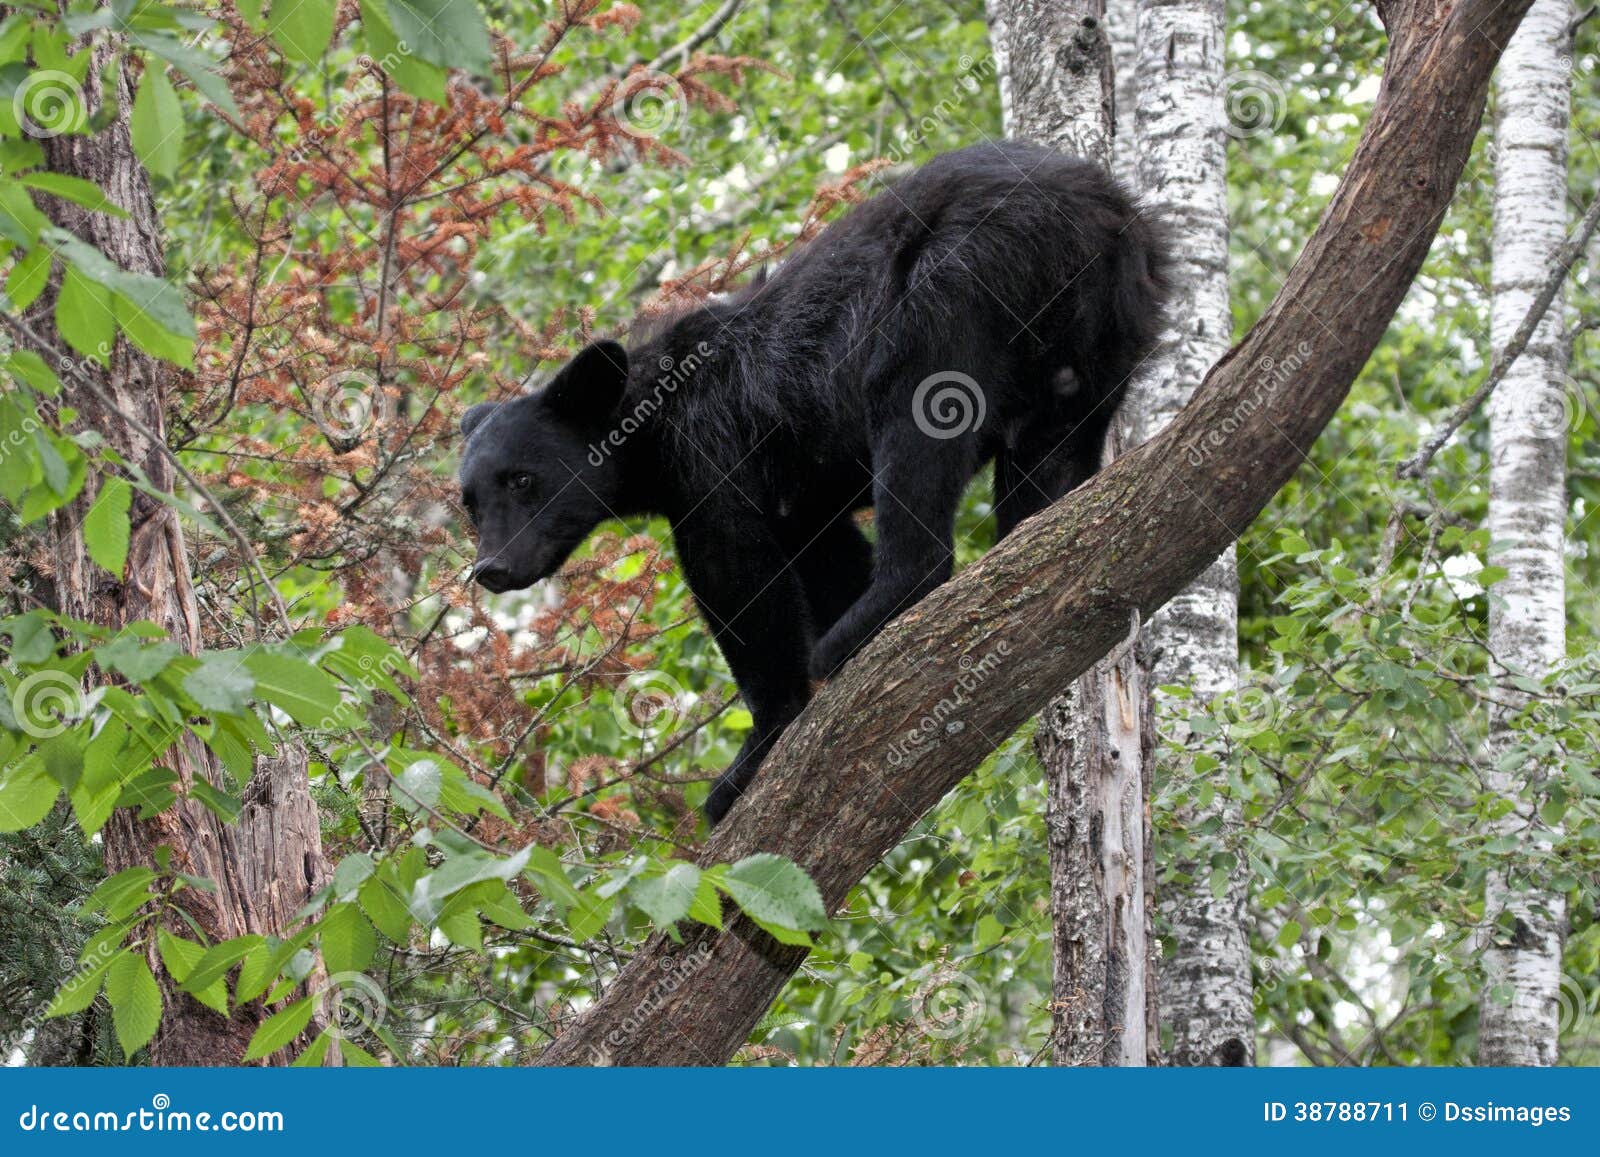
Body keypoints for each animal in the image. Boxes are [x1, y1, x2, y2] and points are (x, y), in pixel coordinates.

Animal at [458, 141, 1169, 824]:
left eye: (523, 480)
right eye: (470, 503)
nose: (490, 568)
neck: (654, 425)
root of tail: (1103, 209)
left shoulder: (713, 452)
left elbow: (739, 579)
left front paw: (750, 755)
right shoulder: (794, 490)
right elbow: (820, 547)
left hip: (960, 277)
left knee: (917, 407)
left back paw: (868, 619)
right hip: (1101, 339)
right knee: (1049, 459)